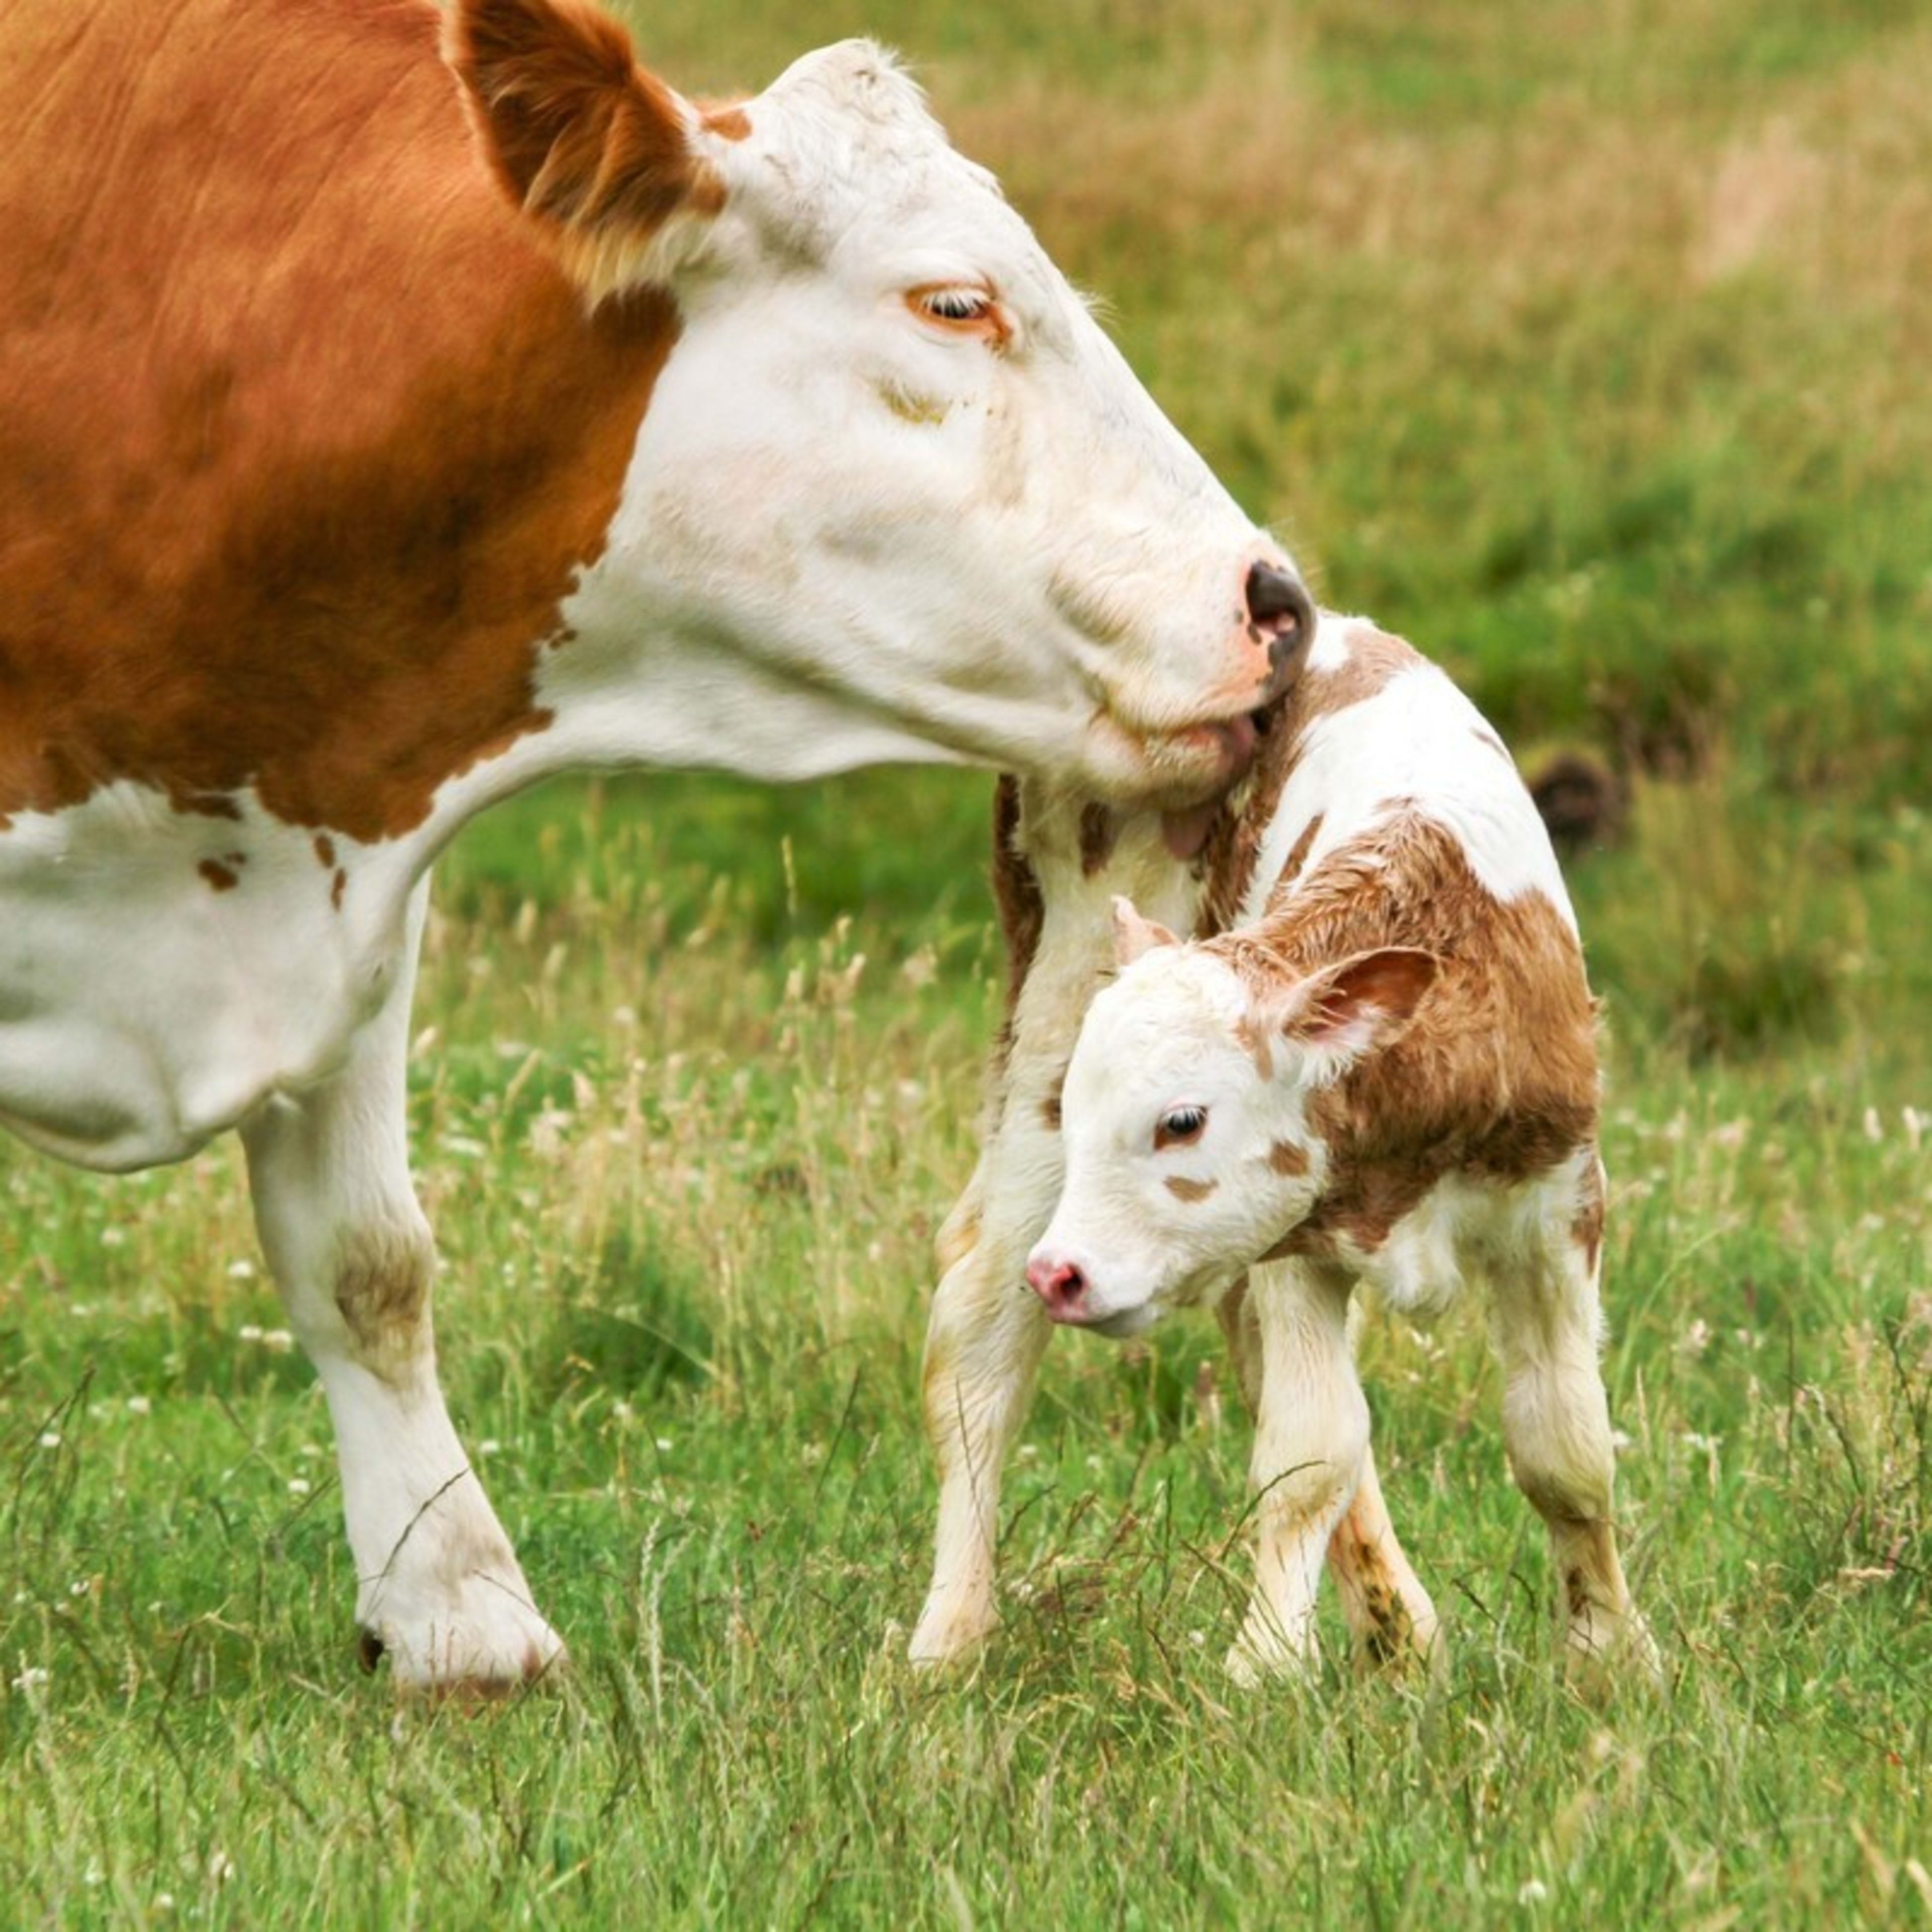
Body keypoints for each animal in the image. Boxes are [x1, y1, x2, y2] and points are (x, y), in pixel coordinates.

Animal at [913, 617, 1656, 1689]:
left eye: (1182, 1121)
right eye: (1090, 1111)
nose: (1063, 1274)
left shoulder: (1555, 1205)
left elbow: (1565, 1444)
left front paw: (1611, 1657)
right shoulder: (1294, 1245)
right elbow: (1310, 1453)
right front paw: (1265, 1668)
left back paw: (1402, 1642)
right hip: (1045, 1025)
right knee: (978, 1334)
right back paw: (947, 1643)